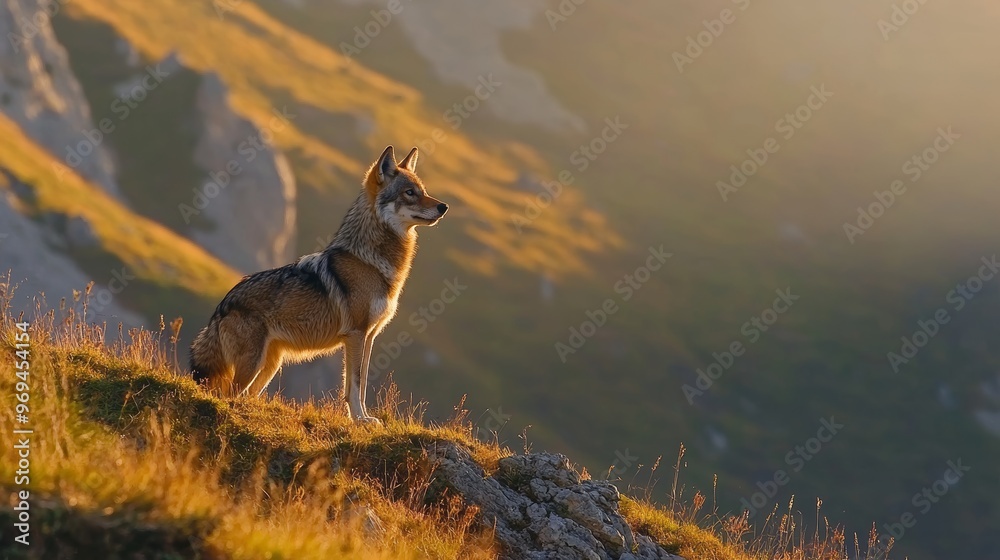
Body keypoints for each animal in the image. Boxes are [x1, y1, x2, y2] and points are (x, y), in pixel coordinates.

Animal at [189, 146, 447, 423]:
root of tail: (222, 305)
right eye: (409, 193)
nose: (444, 206)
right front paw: (360, 419)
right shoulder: (356, 334)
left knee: (245, 394)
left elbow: (360, 384)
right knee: (229, 395)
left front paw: (363, 418)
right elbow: (355, 385)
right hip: (253, 365)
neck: (370, 261)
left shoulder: (369, 336)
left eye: (423, 190)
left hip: (271, 365)